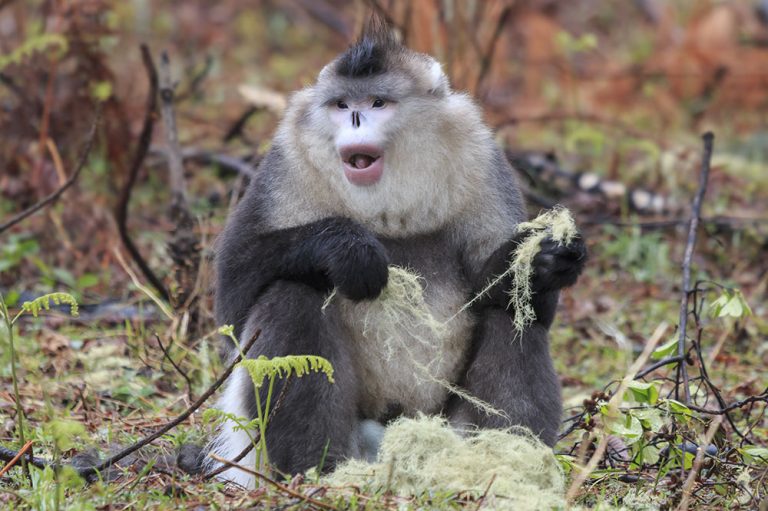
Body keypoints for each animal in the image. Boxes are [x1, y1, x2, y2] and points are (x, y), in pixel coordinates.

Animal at [205, 18, 586, 488]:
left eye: (377, 102)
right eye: (341, 104)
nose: (355, 118)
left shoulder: (482, 160)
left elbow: (503, 294)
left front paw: (546, 261)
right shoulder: (285, 166)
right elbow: (231, 304)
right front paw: (345, 249)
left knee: (512, 316)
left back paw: (503, 468)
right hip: (258, 450)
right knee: (291, 293)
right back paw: (317, 472)